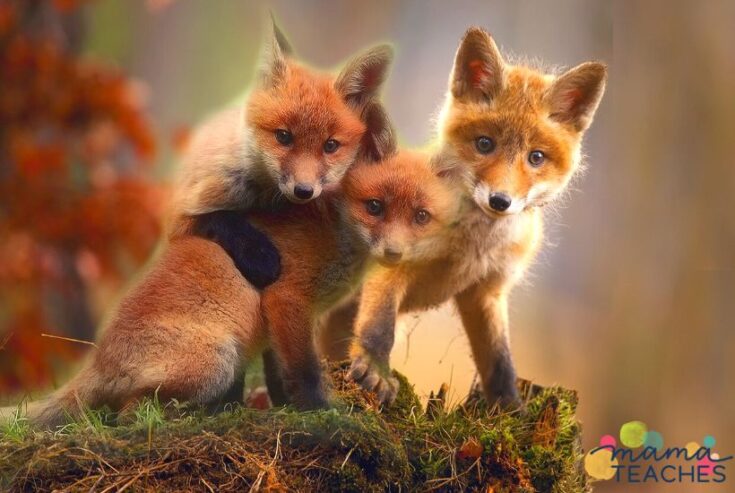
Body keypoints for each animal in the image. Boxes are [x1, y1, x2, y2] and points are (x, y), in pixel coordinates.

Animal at [0, 112, 461, 427]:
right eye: (375, 207)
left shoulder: (287, 319)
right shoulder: (287, 298)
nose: (395, 253)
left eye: (420, 216)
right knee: (127, 414)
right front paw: (320, 415)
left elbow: (280, 375)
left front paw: (288, 408)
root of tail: (98, 359)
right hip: (218, 362)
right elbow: (305, 371)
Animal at [169, 19, 394, 288]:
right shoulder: (180, 215)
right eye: (284, 136)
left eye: (330, 146)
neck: (262, 197)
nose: (304, 191)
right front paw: (258, 254)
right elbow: (220, 218)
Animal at [318, 26, 607, 406]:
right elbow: (379, 327)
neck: (471, 245)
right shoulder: (393, 257)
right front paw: (375, 370)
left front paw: (509, 407)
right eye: (484, 144)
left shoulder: (486, 291)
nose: (500, 201)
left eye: (536, 157)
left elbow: (499, 360)